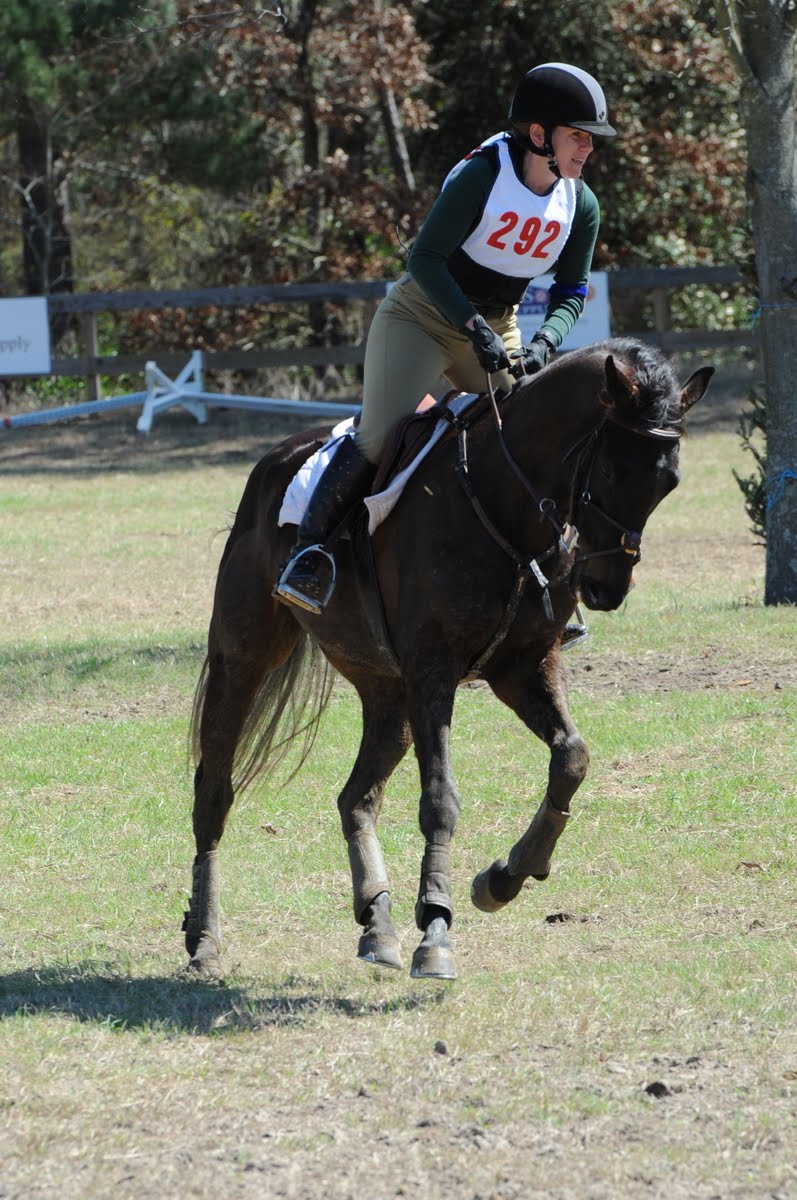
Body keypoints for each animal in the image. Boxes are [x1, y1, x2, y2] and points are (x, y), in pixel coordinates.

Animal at [183, 338, 713, 980]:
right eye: (613, 469)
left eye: (671, 482)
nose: (607, 588)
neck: (505, 504)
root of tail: (272, 463)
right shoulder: (434, 671)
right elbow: (440, 800)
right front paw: (435, 928)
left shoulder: (523, 667)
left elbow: (572, 758)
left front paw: (506, 876)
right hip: (244, 657)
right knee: (214, 792)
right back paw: (204, 939)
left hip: (386, 692)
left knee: (356, 798)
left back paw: (377, 924)